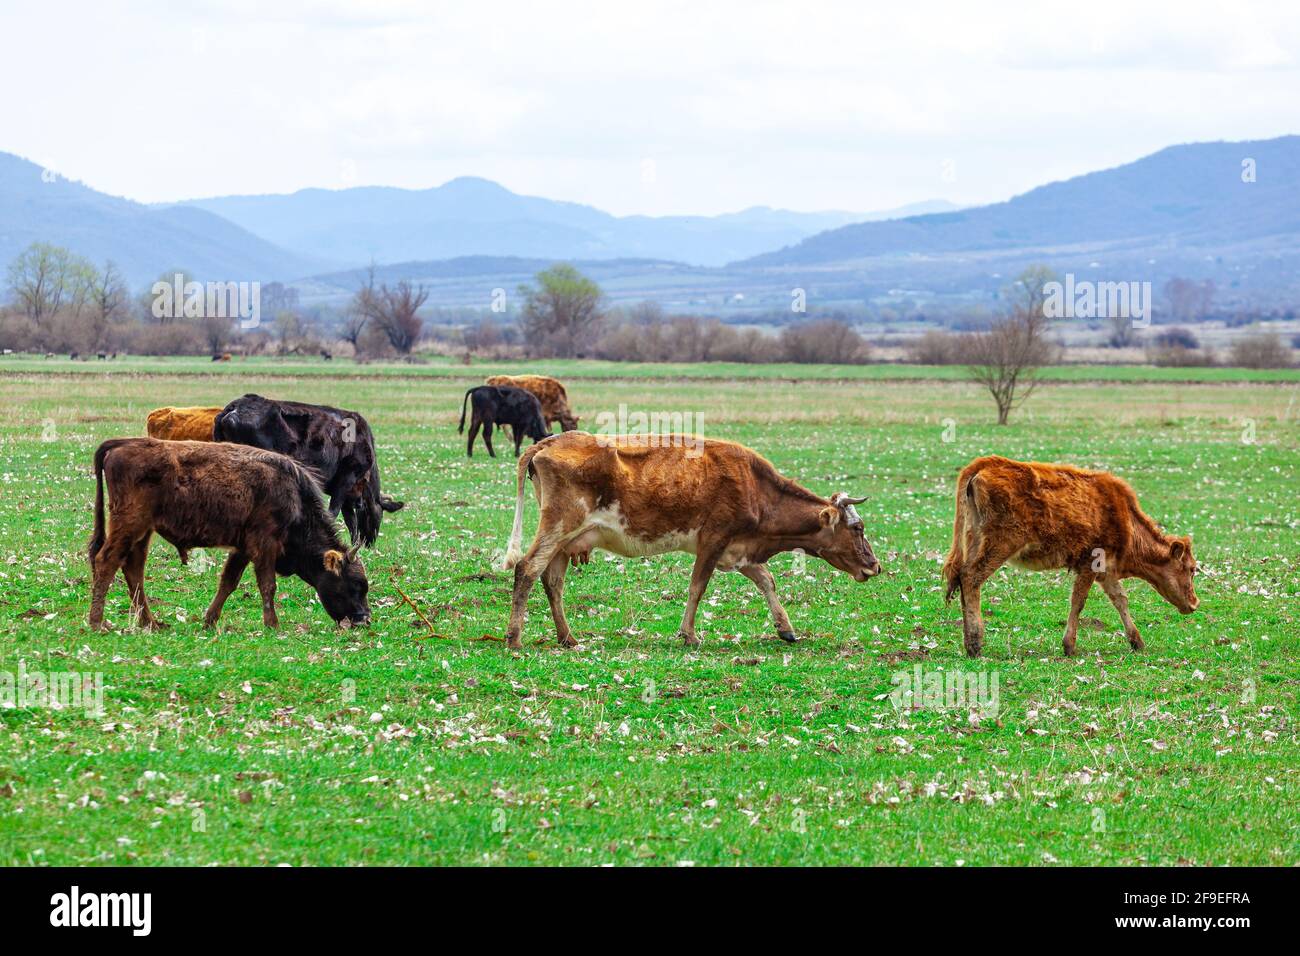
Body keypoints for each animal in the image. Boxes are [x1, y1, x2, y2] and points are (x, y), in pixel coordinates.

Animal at [88, 438, 370, 630]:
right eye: (355, 584)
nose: (364, 620)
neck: (293, 496)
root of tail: (123, 443)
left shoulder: (243, 548)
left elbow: (229, 582)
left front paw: (209, 621)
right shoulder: (264, 545)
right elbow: (267, 585)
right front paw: (273, 624)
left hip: (143, 532)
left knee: (133, 569)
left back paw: (151, 624)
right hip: (129, 525)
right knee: (107, 561)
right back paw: (97, 623)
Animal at [213, 394, 404, 548]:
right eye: (380, 514)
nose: (369, 543)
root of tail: (234, 406)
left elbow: (350, 520)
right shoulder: (347, 477)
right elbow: (334, 513)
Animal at [499, 431, 881, 650]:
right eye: (858, 528)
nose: (875, 566)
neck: (756, 488)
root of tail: (549, 441)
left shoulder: (738, 549)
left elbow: (766, 580)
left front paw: (785, 628)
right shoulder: (714, 540)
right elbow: (697, 587)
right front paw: (689, 635)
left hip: (566, 540)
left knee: (553, 581)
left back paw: (567, 638)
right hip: (559, 525)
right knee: (527, 569)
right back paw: (515, 638)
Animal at [941, 455, 1200, 658]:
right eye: (1191, 569)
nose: (1194, 603)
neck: (1126, 519)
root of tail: (985, 463)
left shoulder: (1107, 571)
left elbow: (1120, 600)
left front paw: (1136, 641)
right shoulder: (1090, 564)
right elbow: (1079, 601)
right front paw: (1069, 646)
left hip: (974, 540)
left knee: (962, 579)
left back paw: (968, 642)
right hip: (1000, 544)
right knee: (971, 578)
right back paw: (975, 643)